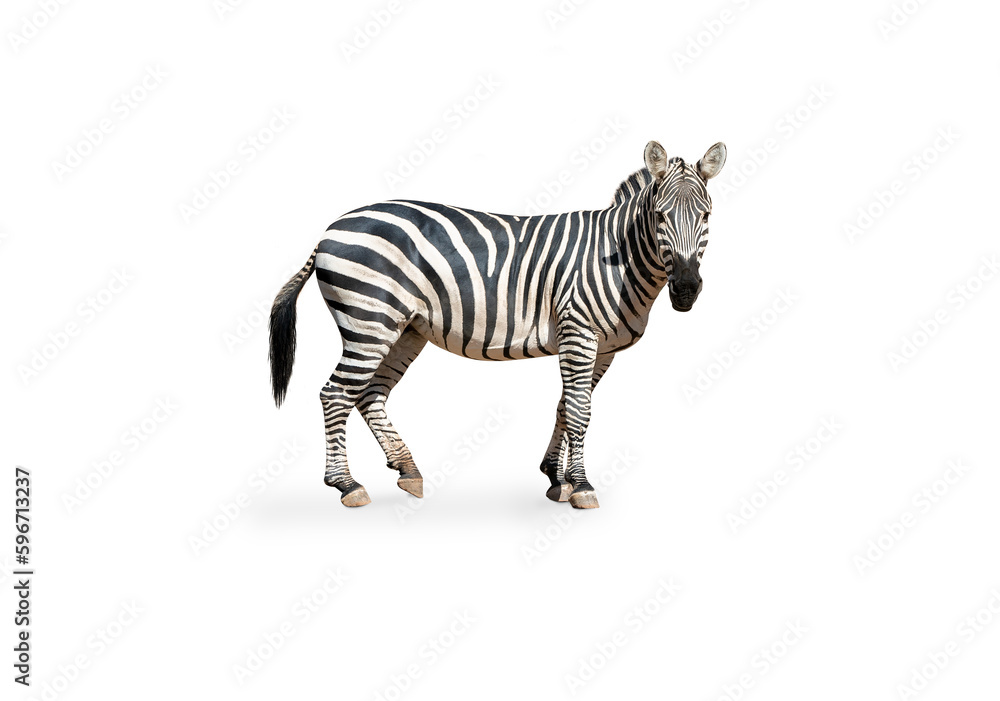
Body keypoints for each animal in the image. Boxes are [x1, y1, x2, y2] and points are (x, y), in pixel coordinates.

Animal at [269, 140, 726, 508]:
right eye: (661, 217)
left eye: (706, 217)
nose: (686, 289)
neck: (620, 257)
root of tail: (330, 229)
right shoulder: (578, 332)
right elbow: (580, 410)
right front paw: (581, 486)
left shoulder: (602, 347)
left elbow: (566, 405)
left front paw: (555, 478)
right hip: (369, 322)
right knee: (335, 394)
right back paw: (347, 485)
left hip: (405, 328)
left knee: (370, 394)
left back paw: (408, 471)